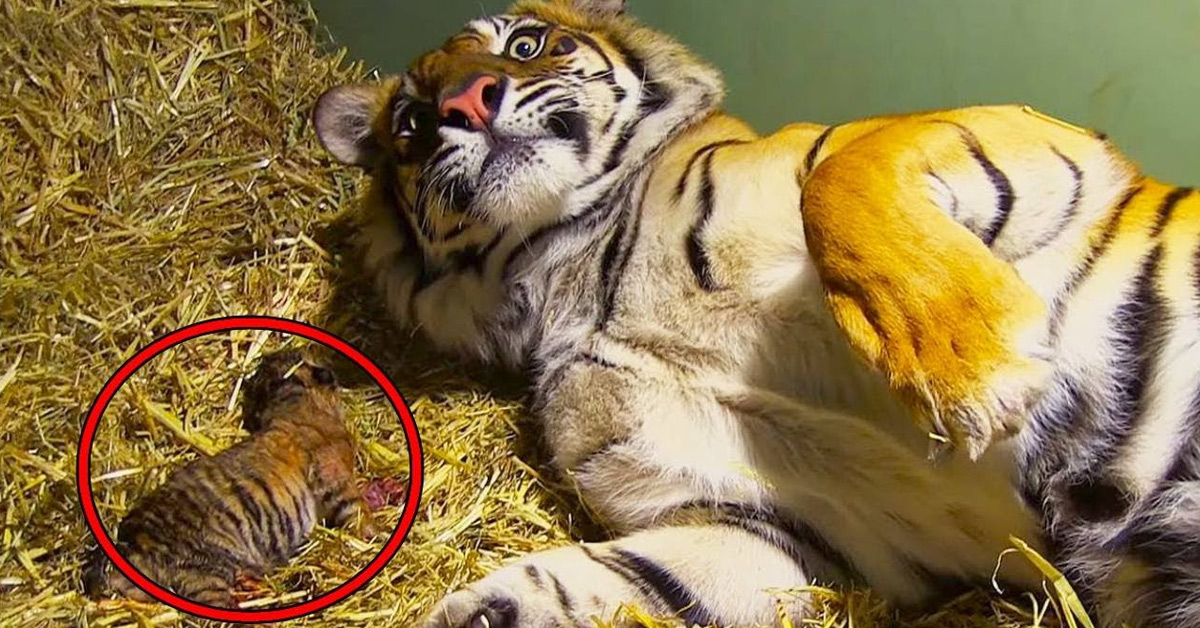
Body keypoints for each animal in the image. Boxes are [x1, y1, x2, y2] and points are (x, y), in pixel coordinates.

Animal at [82, 351, 377, 608]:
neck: (291, 401)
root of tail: (135, 543)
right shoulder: (336, 480)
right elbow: (358, 513)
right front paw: (376, 535)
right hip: (206, 571)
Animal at [312, 0, 1200, 626]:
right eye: (410, 124)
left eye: (525, 44)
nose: (466, 100)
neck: (571, 271)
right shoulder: (794, 528)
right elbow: (635, 580)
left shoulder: (1018, 135)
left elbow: (838, 181)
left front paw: (975, 372)